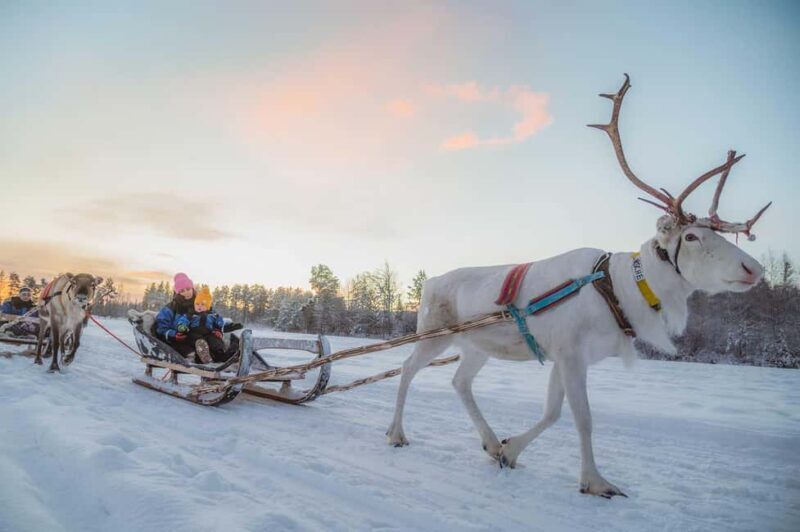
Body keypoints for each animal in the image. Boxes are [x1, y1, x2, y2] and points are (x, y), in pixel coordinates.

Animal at [386, 74, 771, 498]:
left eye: (715, 234)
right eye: (691, 237)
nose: (754, 268)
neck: (621, 289)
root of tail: (431, 281)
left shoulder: (566, 356)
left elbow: (552, 412)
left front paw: (509, 449)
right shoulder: (570, 354)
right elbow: (582, 418)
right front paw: (595, 481)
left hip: (476, 346)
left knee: (459, 381)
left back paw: (488, 441)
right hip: (434, 333)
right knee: (406, 368)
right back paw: (396, 433)